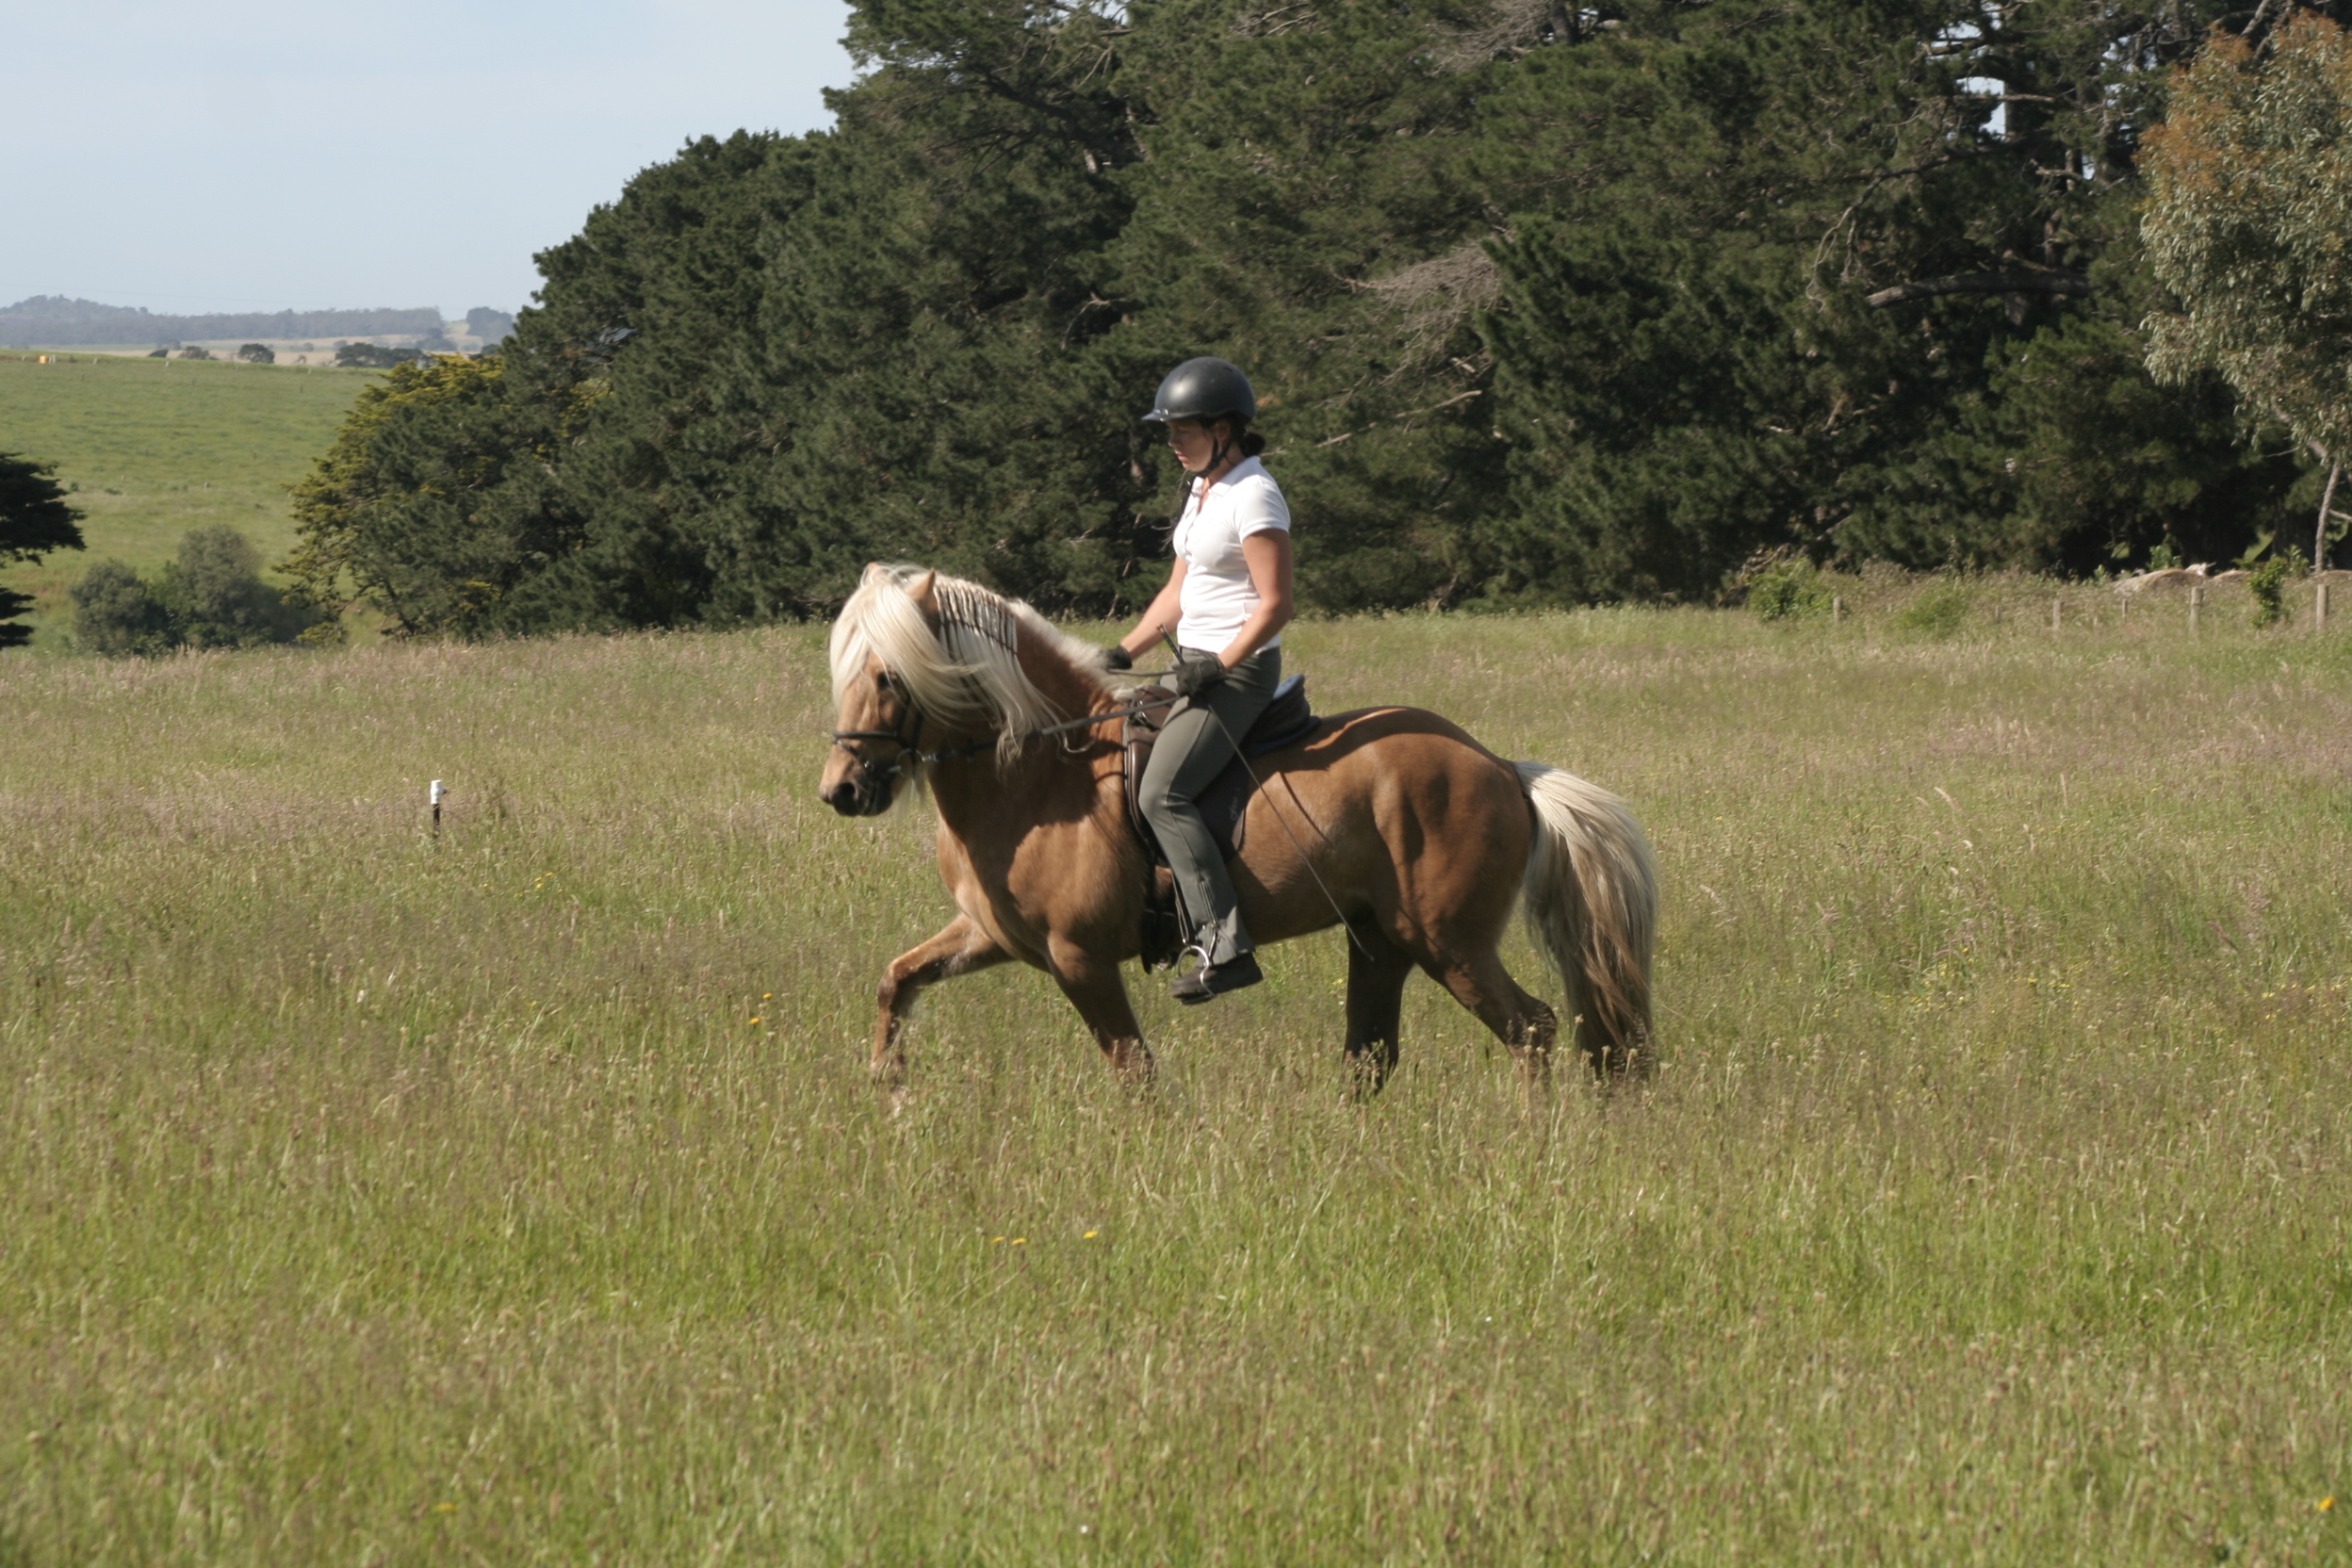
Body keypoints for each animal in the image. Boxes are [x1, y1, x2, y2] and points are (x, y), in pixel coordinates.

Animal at [819, 563, 1659, 1094]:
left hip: (1449, 943)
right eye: (844, 674)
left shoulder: (1079, 958)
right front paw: (888, 1083)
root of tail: (1501, 767)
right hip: (1381, 939)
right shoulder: (992, 934)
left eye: (890, 676)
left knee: (1532, 1029)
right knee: (1372, 1057)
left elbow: (1134, 1071)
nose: (842, 791)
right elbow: (898, 977)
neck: (1043, 770)